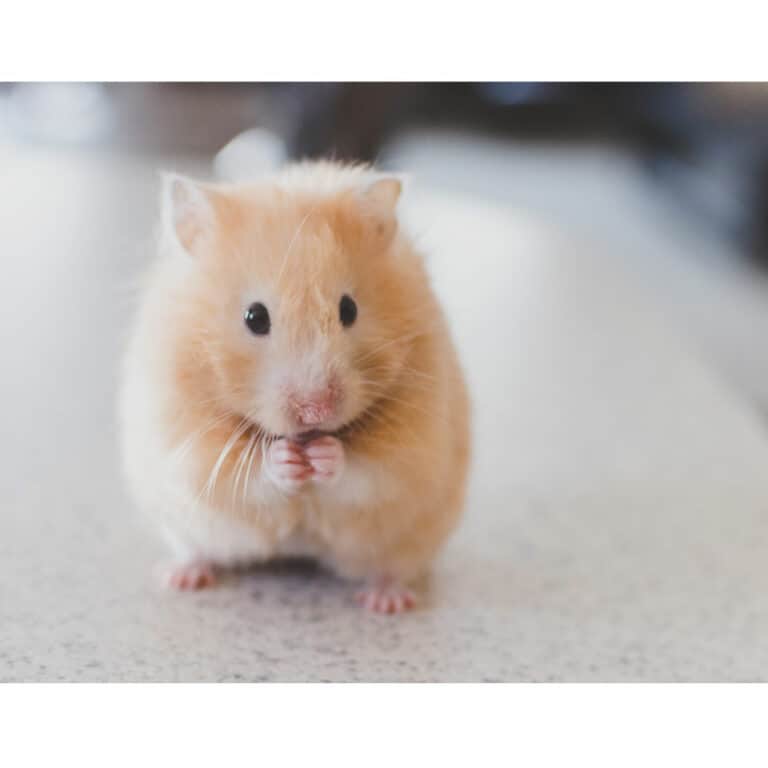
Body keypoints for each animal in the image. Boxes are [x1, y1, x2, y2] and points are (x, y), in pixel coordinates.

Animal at [119, 160, 470, 613]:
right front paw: (286, 459)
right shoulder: (187, 443)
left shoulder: (413, 448)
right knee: (196, 550)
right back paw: (180, 577)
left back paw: (387, 602)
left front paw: (324, 455)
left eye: (349, 309)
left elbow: (367, 471)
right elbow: (244, 474)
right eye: (254, 317)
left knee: (392, 567)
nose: (316, 412)